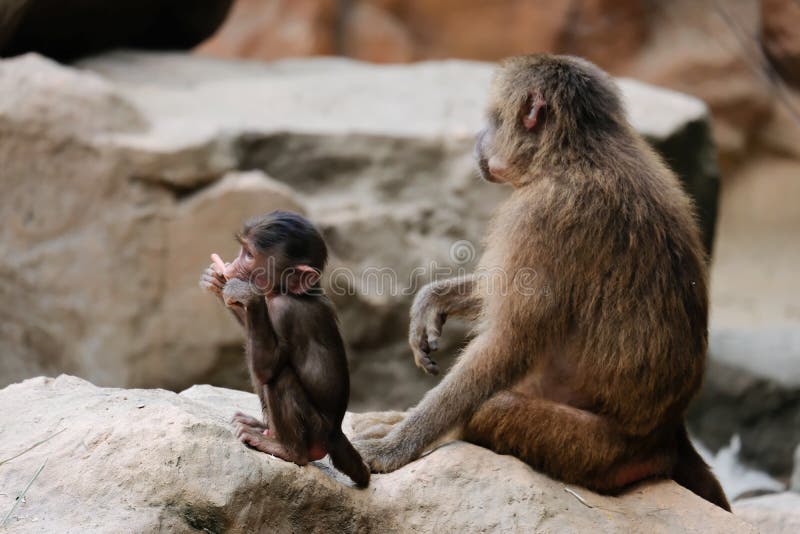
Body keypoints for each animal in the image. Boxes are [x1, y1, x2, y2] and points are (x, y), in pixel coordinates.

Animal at [199, 210, 370, 487]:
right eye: (242, 250)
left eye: (249, 255)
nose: (232, 265)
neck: (294, 292)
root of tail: (336, 433)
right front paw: (215, 281)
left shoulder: (283, 310)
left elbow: (267, 368)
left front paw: (246, 295)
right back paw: (263, 428)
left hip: (316, 432)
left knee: (281, 379)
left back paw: (288, 450)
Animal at [351, 54, 730, 511]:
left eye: (492, 120)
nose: (478, 139)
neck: (572, 154)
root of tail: (669, 435)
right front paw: (432, 301)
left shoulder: (541, 216)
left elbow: (508, 343)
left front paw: (392, 449)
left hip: (597, 449)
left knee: (493, 408)